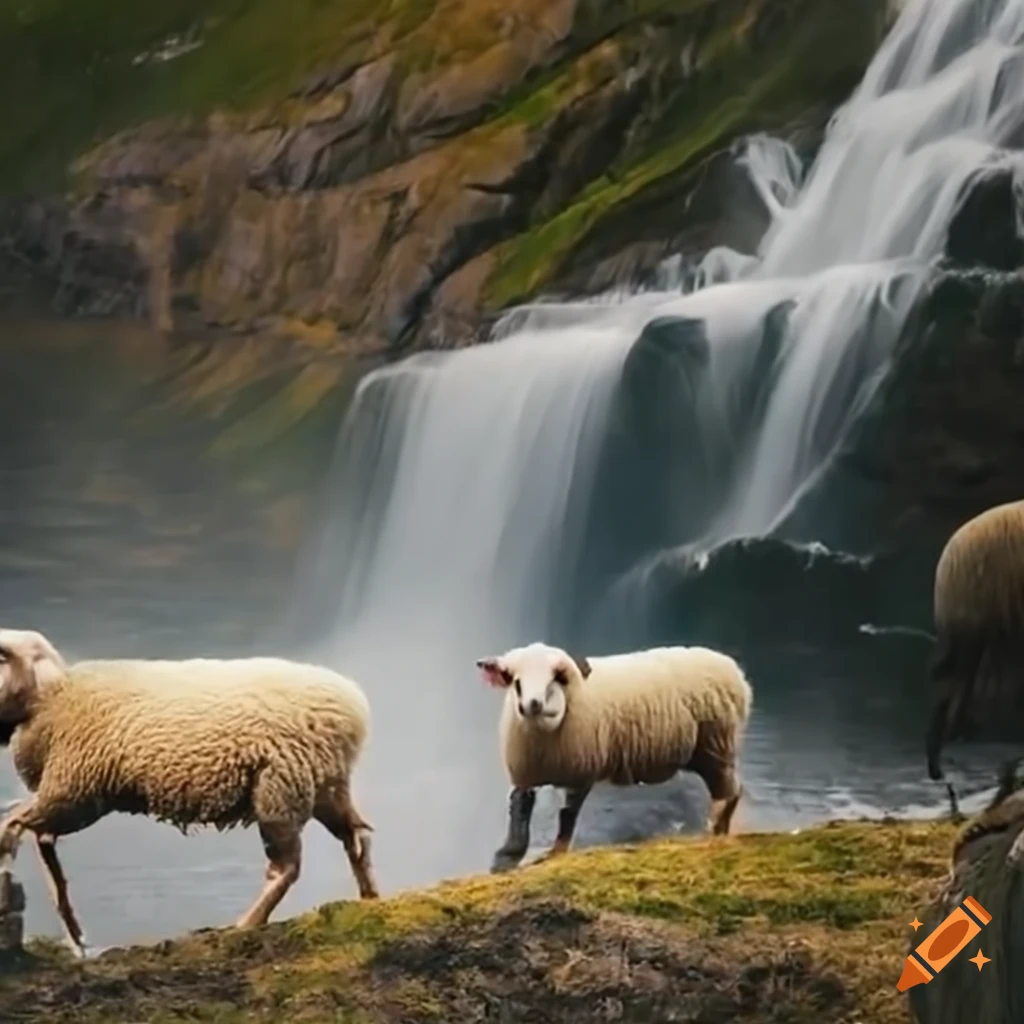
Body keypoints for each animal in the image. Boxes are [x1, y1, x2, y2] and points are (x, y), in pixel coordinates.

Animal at [0, 628, 378, 955]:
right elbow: (42, 845)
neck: (53, 699)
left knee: (287, 865)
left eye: (4, 655)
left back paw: (246, 923)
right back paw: (370, 897)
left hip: (281, 786)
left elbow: (14, 825)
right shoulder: (67, 796)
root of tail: (353, 708)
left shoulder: (73, 790)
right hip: (323, 784)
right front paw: (76, 937)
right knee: (356, 835)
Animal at [476, 641, 752, 872]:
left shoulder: (581, 772)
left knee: (729, 793)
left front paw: (556, 853)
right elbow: (519, 816)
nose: (531, 705)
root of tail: (734, 670)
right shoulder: (524, 775)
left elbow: (568, 816)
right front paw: (507, 859)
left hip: (716, 747)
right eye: (516, 682)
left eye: (555, 679)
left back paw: (716, 831)